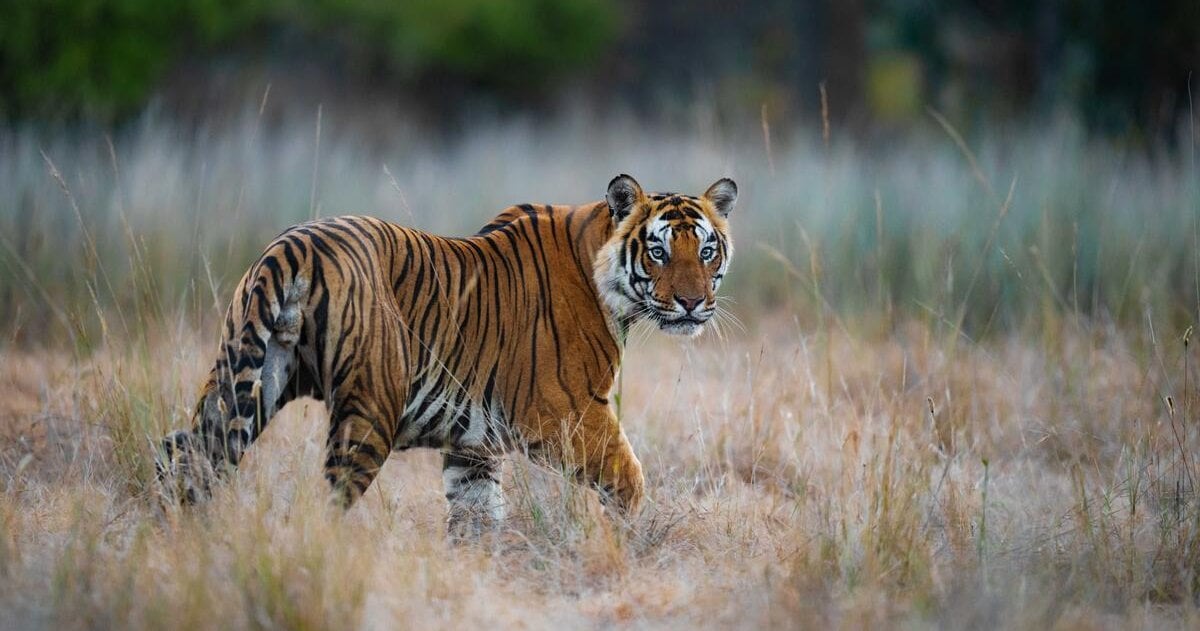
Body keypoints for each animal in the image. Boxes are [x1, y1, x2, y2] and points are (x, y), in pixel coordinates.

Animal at [155, 174, 738, 536]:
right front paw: (625, 544)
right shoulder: (568, 415)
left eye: (707, 250)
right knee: (325, 501)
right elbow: (629, 480)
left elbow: (477, 521)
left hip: (246, 380)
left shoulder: (474, 445)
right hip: (368, 412)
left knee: (179, 452)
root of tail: (293, 245)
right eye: (658, 250)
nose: (692, 303)